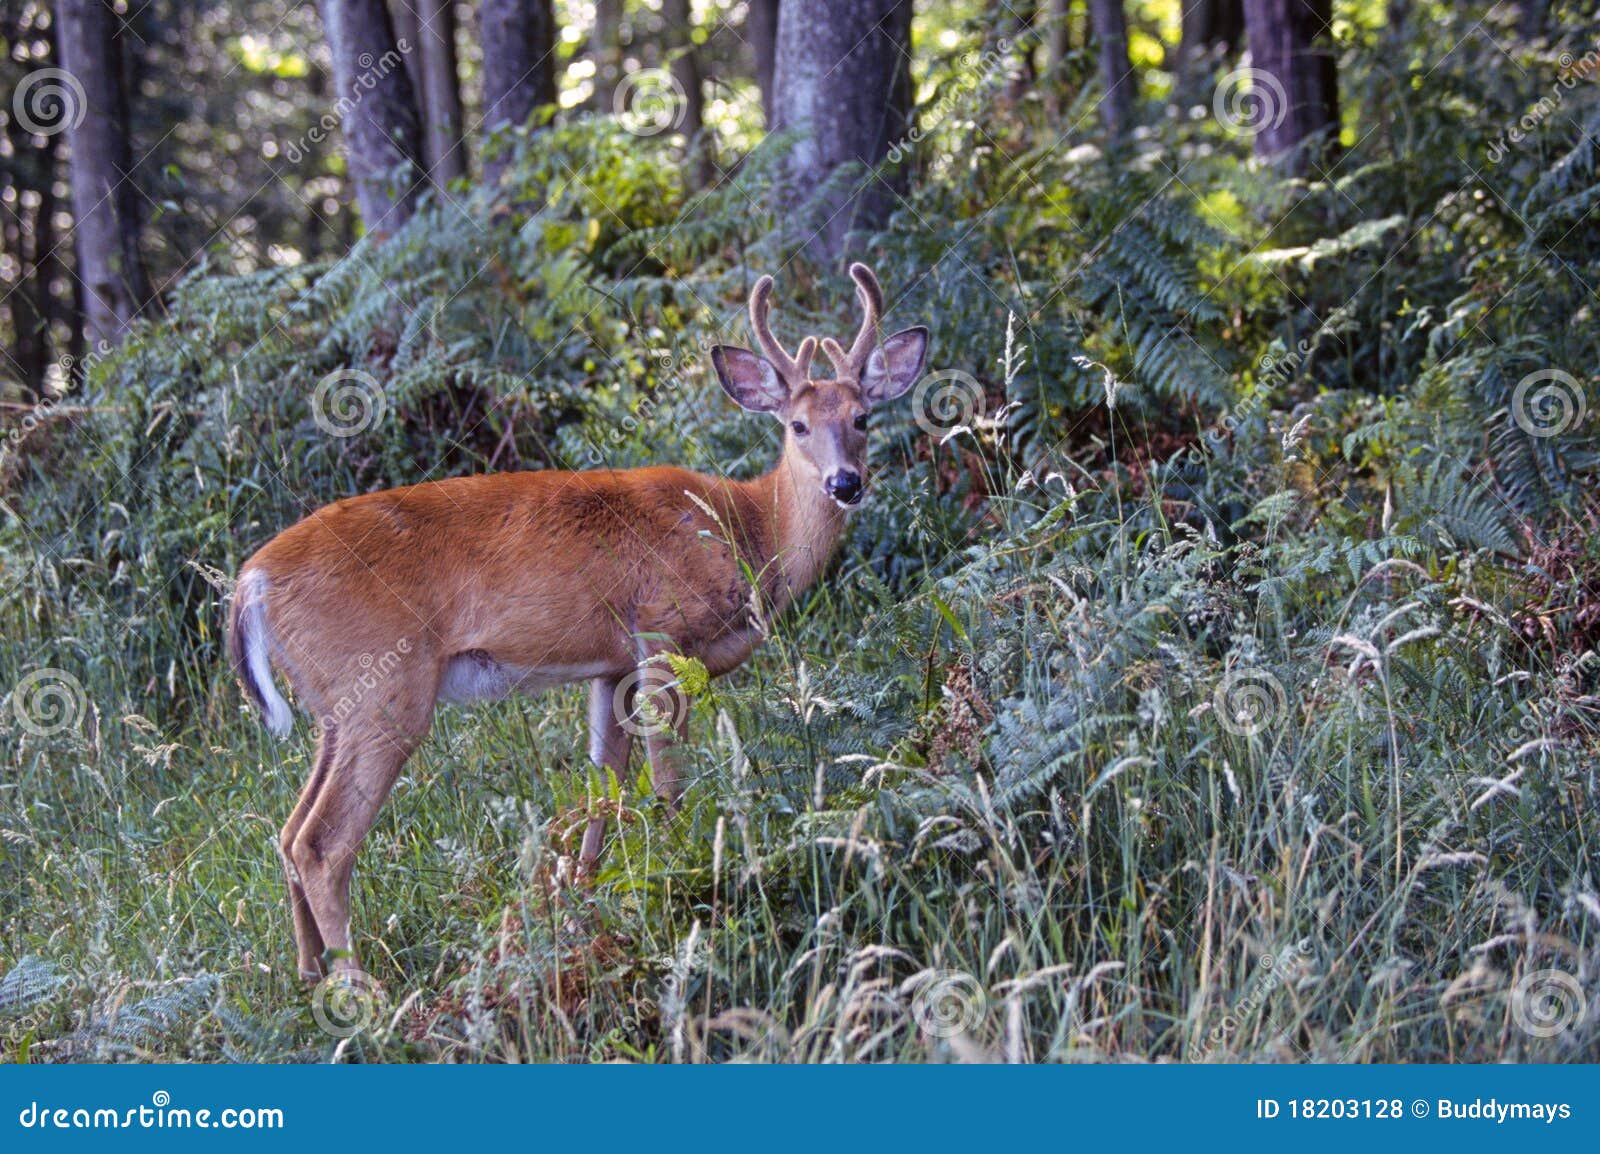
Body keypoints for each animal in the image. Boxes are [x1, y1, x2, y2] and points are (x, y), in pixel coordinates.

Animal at [228, 264, 929, 982]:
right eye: (797, 426)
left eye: (863, 418)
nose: (846, 483)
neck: (749, 528)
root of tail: (251, 582)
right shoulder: (660, 632)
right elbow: (667, 782)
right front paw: (678, 876)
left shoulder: (609, 666)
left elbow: (603, 790)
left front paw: (585, 905)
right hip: (382, 686)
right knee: (321, 842)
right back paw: (359, 987)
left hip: (334, 706)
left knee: (288, 830)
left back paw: (310, 975)